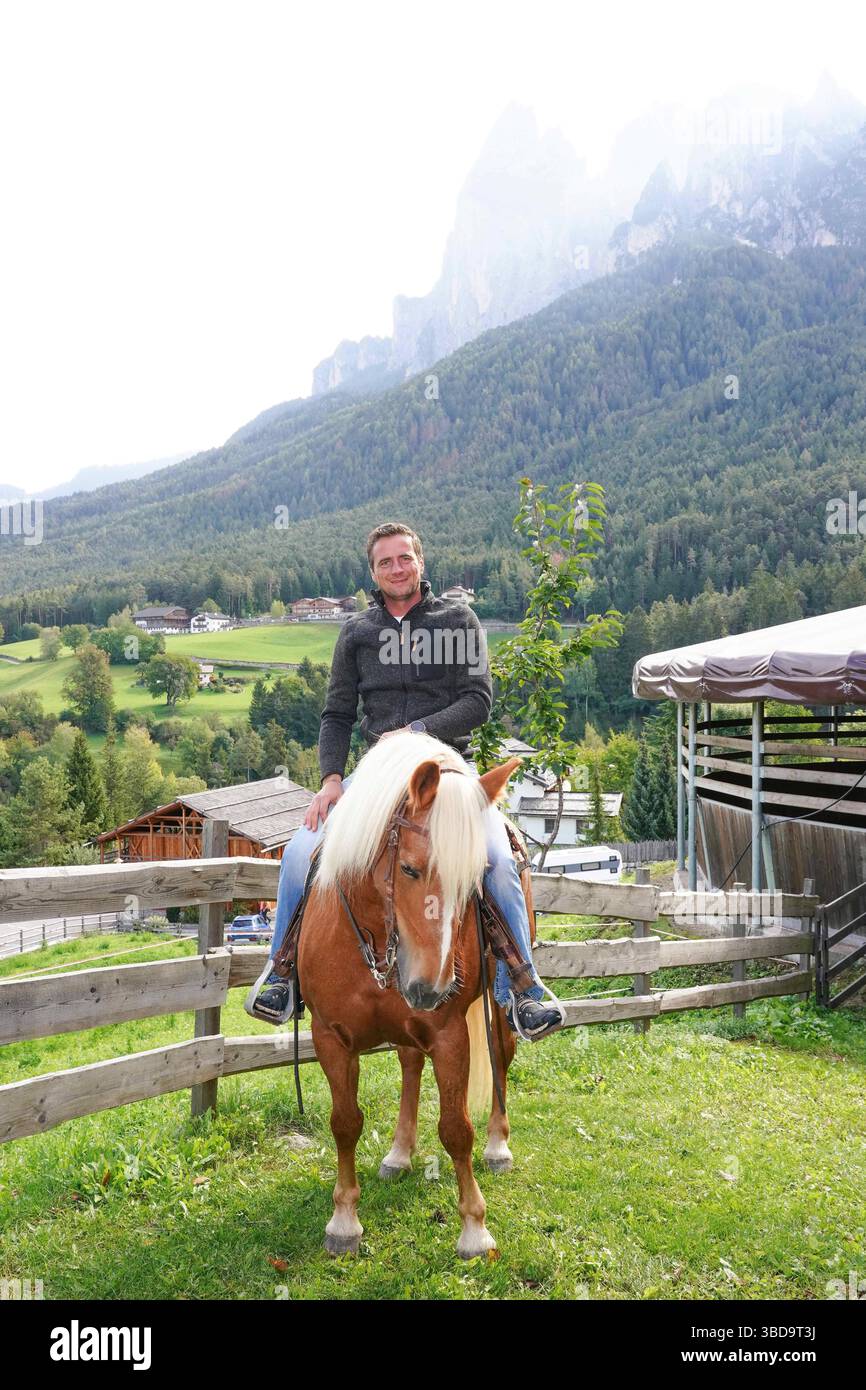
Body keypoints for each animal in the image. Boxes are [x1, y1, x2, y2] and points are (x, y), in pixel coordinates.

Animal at [295, 731, 531, 1259]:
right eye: (408, 868)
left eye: (476, 878)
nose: (431, 988)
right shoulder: (330, 1037)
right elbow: (345, 1121)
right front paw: (344, 1221)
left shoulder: (449, 1034)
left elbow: (456, 1129)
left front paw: (474, 1229)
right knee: (408, 1065)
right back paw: (400, 1154)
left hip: (497, 1004)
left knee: (501, 1054)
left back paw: (498, 1146)